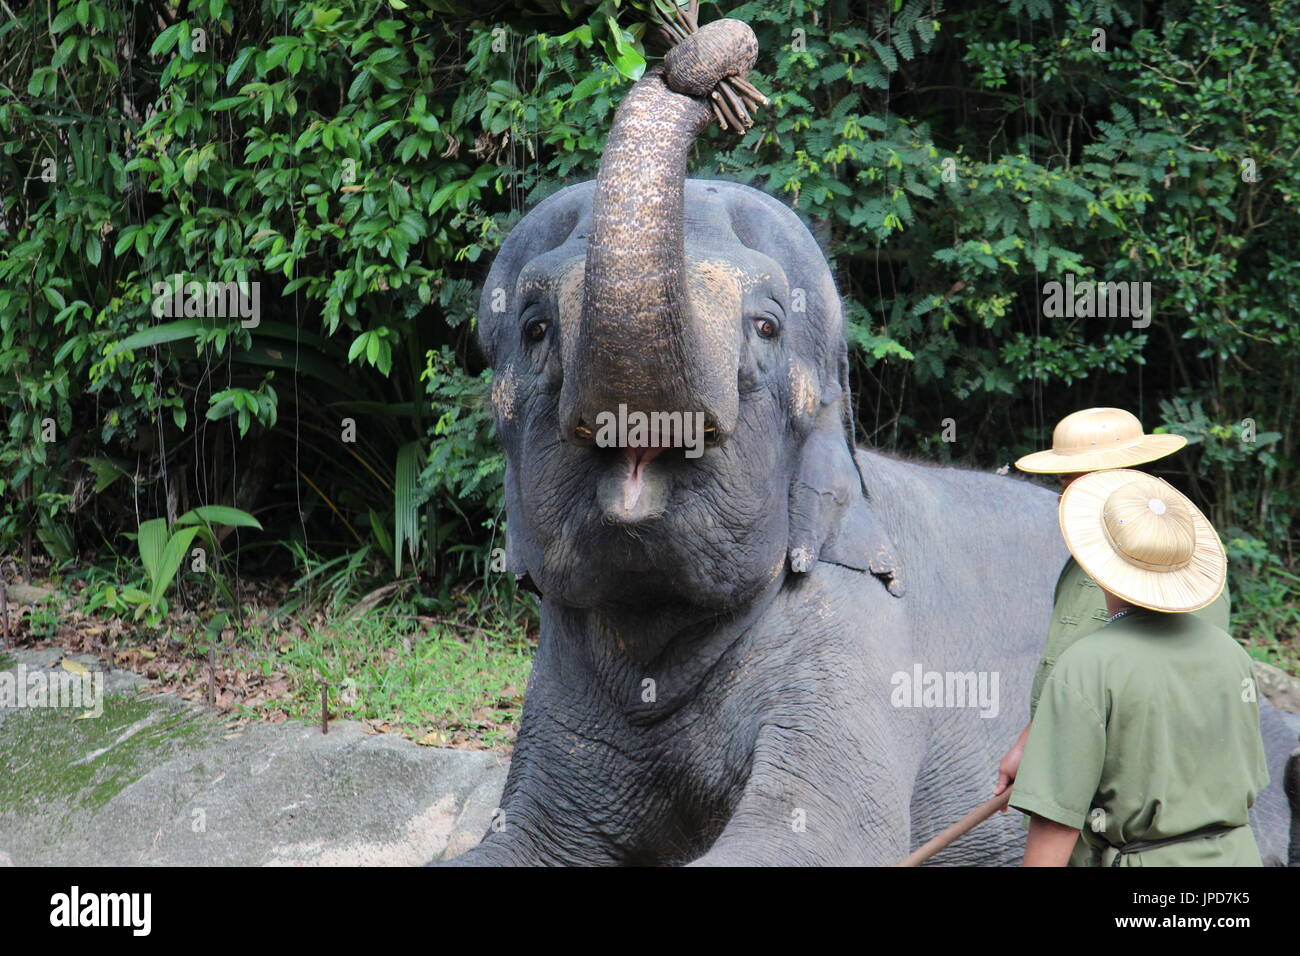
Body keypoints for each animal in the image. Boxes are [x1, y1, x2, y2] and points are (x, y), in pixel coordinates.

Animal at [450, 17, 1300, 865]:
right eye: (534, 328)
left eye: (767, 326)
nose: (710, 61)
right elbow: (529, 841)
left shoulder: (855, 622)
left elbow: (822, 833)